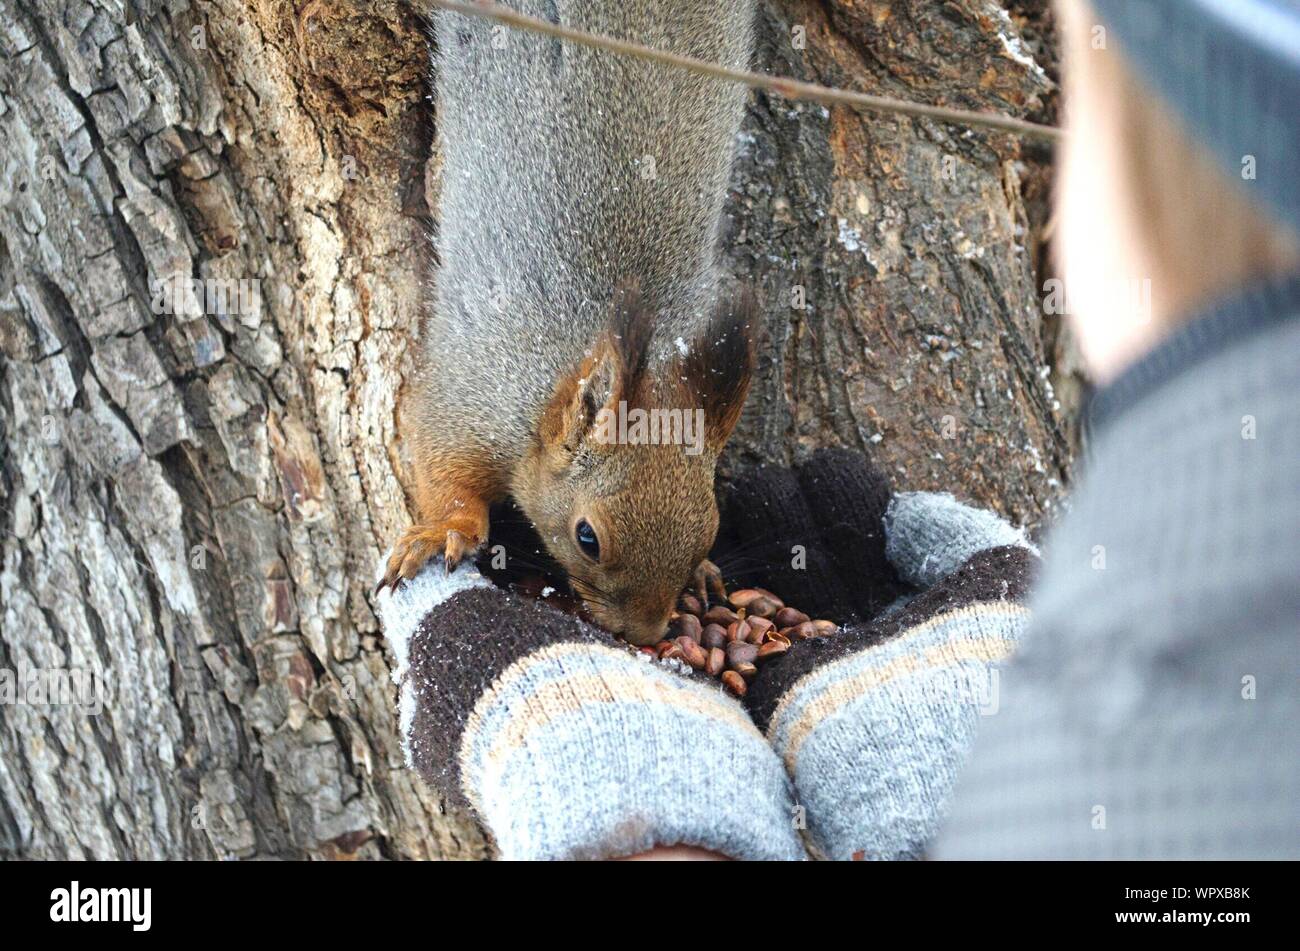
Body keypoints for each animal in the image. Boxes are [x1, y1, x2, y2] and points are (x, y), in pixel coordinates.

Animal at [379, 0, 757, 645]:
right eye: (588, 539)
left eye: (709, 530)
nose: (645, 635)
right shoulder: (473, 394)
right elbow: (436, 461)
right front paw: (445, 529)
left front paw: (706, 574)